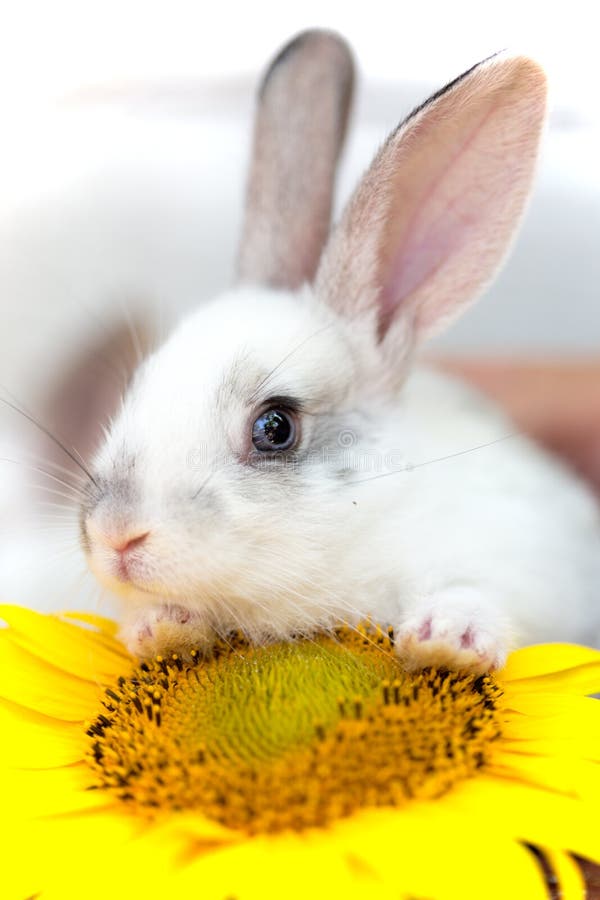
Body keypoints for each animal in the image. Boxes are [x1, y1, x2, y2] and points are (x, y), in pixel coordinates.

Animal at [80, 29, 600, 673]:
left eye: (276, 427)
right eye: (136, 386)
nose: (115, 535)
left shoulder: (527, 559)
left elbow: (476, 592)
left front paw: (445, 637)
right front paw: (160, 627)